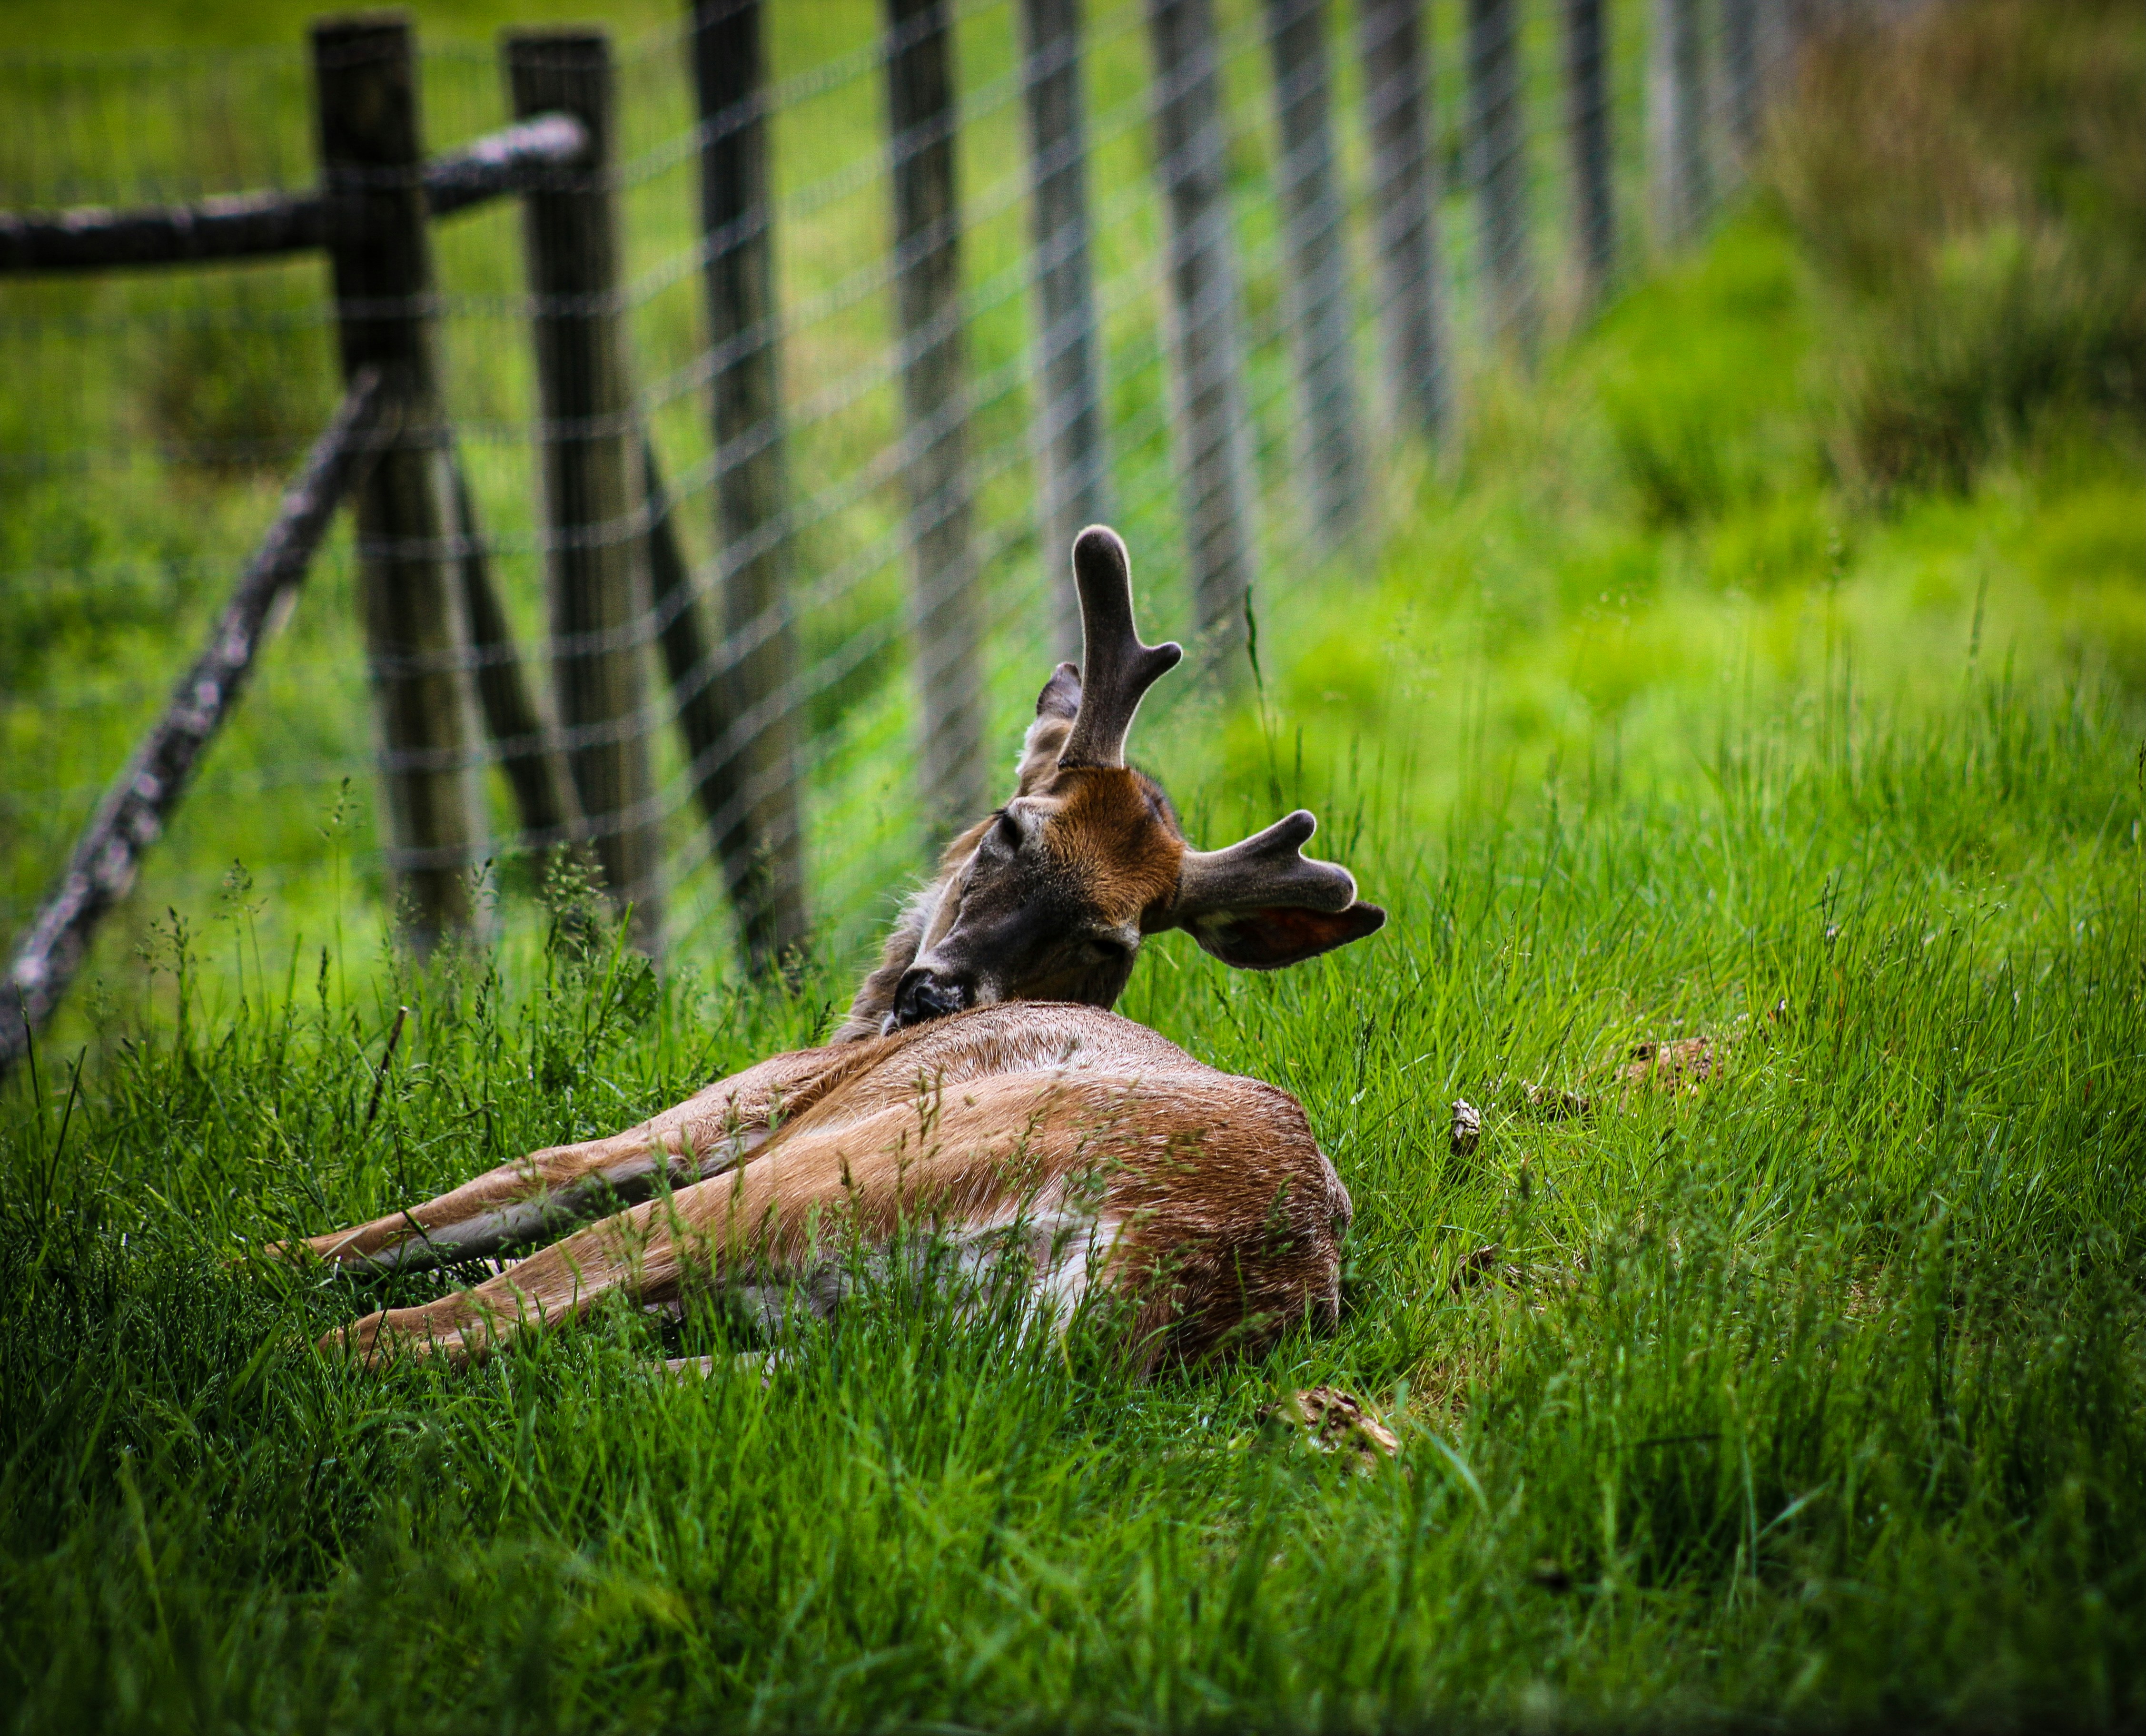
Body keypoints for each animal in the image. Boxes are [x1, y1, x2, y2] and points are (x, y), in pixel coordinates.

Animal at [285, 527, 1385, 1373]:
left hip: (840, 1172)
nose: (931, 994)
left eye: (1101, 939)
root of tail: (1165, 1261)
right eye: (1009, 827)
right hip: (881, 1338)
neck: (852, 1033)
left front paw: (257, 1254)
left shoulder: (728, 1111)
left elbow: (491, 1185)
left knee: (408, 1333)